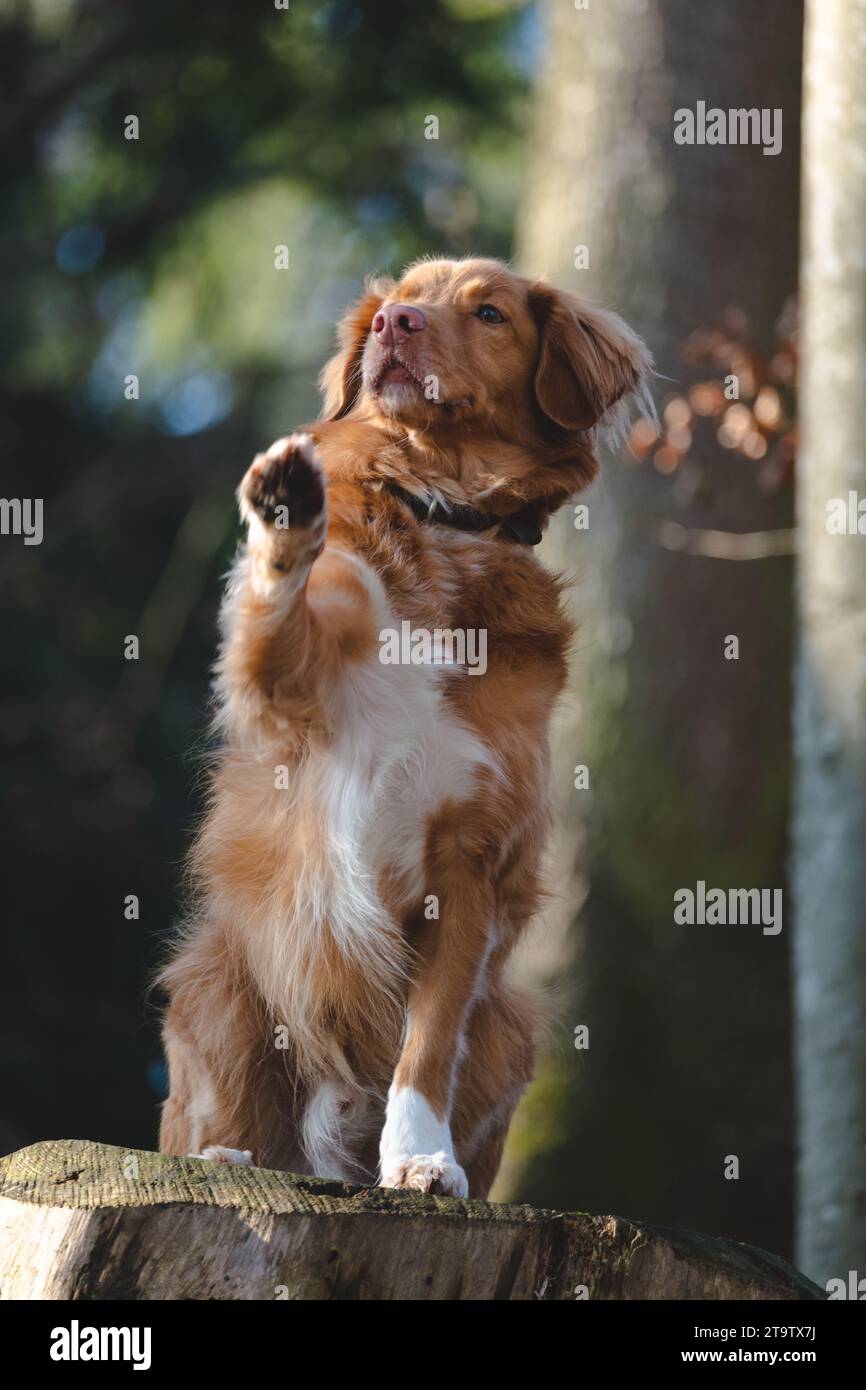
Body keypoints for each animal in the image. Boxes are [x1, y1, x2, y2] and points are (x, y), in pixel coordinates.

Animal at [161, 258, 650, 1195]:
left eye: (489, 313)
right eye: (400, 299)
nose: (394, 323)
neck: (440, 512)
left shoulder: (467, 866)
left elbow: (426, 1046)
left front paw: (422, 1157)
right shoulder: (287, 694)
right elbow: (290, 611)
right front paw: (291, 521)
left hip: (512, 1022)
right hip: (218, 980)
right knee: (204, 1116)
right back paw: (224, 1152)